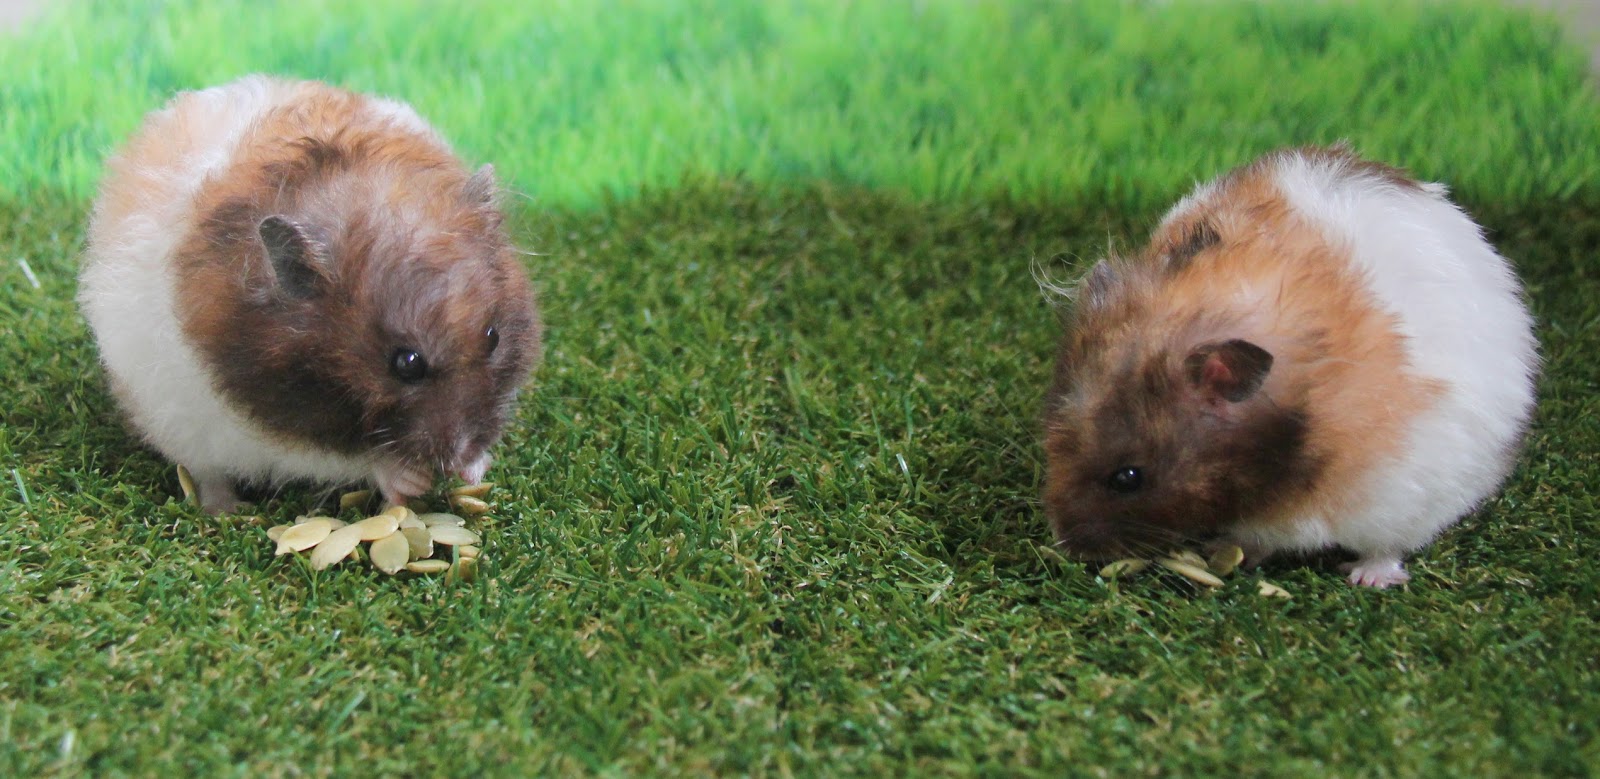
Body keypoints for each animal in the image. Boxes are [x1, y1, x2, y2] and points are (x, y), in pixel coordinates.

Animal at [79, 75, 541, 513]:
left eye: (493, 338)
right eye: (406, 363)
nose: (458, 456)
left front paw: (476, 468)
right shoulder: (275, 428)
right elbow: (344, 458)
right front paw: (409, 480)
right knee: (207, 474)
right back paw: (227, 511)